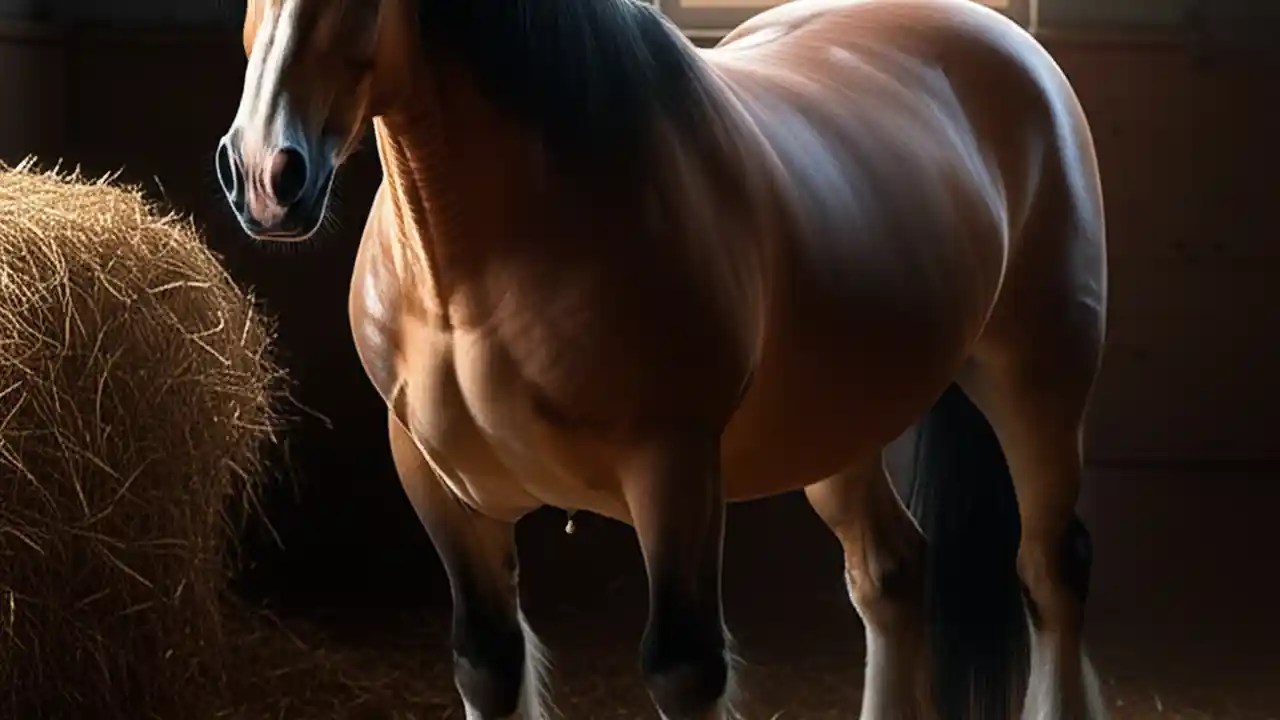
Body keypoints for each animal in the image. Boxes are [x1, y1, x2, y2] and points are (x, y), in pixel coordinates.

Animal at [215, 0, 1109, 717]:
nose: (264, 173)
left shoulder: (673, 468)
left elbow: (684, 668)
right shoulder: (435, 480)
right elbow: (488, 664)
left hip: (1038, 380)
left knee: (1051, 571)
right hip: (837, 429)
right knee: (890, 573)